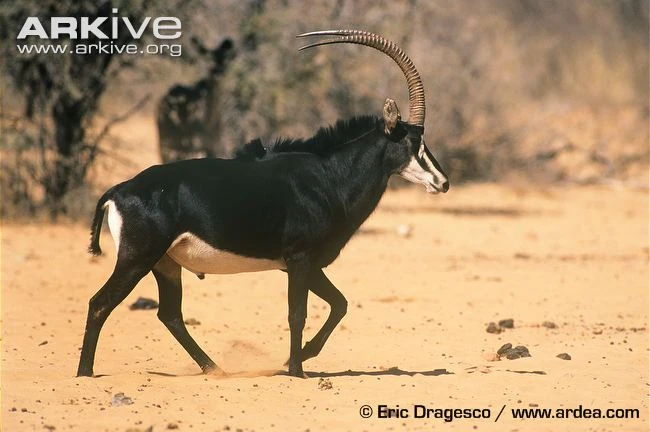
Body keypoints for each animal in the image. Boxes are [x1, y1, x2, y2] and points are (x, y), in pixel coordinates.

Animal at [77, 30, 449, 378]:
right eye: (413, 142)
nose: (442, 182)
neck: (328, 175)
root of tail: (118, 191)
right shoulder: (299, 259)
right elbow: (297, 313)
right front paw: (296, 369)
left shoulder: (304, 264)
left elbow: (340, 304)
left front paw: (297, 359)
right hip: (137, 258)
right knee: (100, 303)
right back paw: (85, 373)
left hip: (165, 264)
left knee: (169, 314)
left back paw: (214, 369)